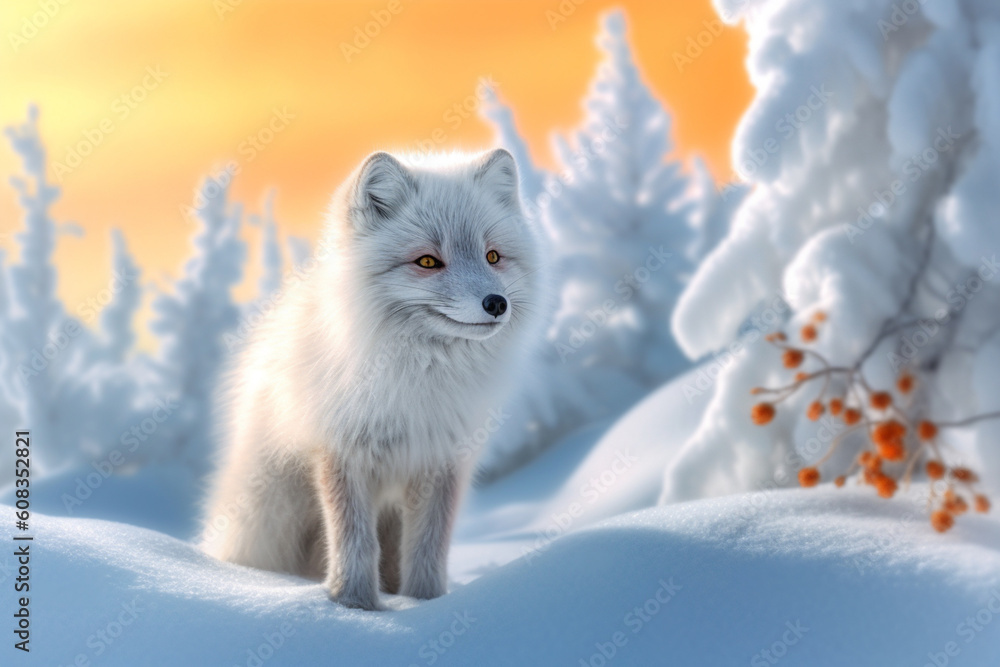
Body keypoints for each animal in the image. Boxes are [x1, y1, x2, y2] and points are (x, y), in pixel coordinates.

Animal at [200, 148, 542, 611]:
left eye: (492, 256)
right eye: (428, 261)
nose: (496, 303)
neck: (417, 382)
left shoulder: (440, 459)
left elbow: (428, 548)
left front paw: (425, 604)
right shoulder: (343, 452)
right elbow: (354, 541)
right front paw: (353, 604)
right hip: (273, 519)